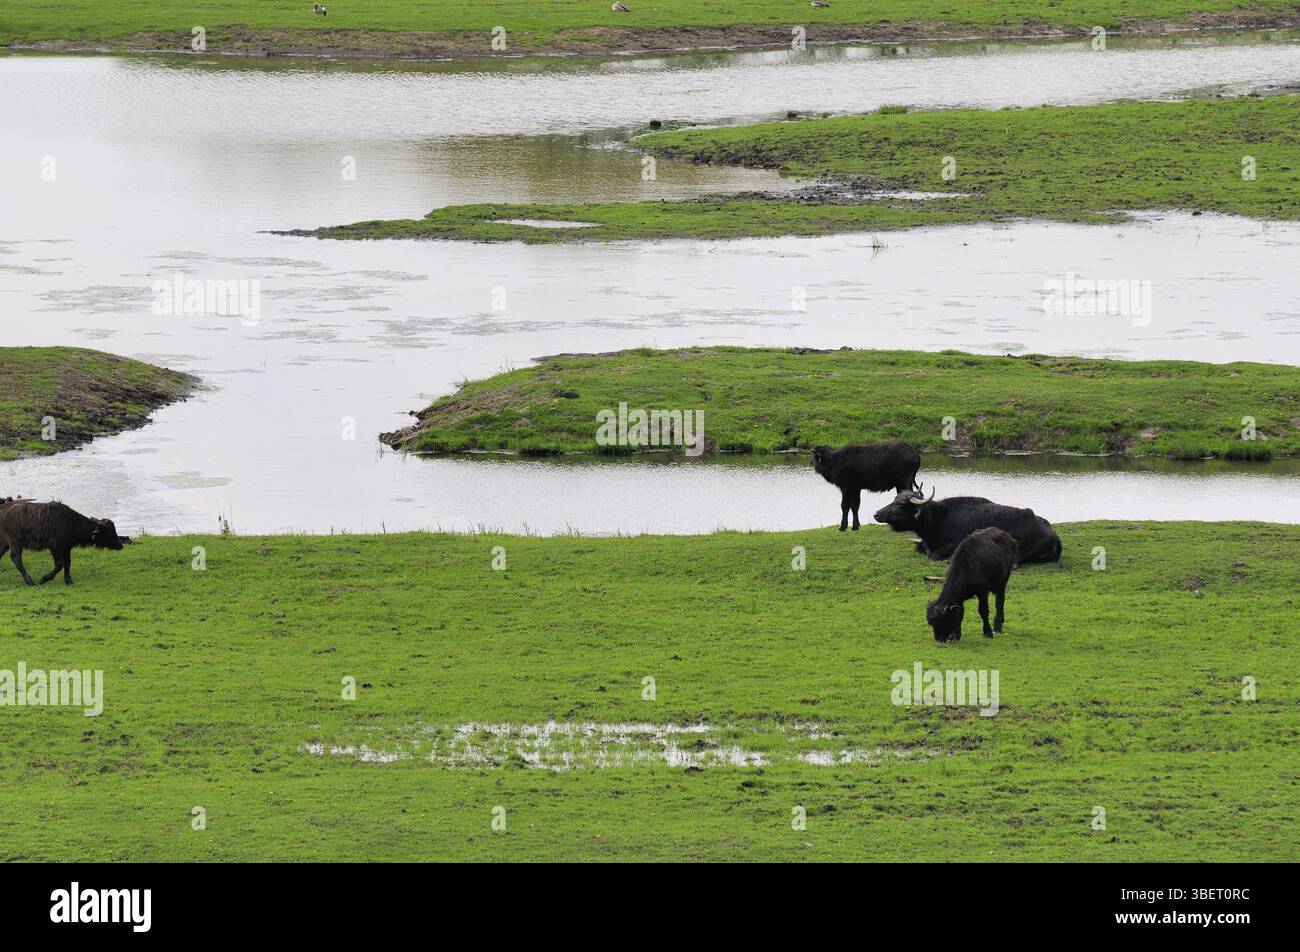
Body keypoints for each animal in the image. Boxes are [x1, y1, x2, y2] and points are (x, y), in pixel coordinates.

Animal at [0, 500, 131, 586]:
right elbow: (60, 564)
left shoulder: (67, 548)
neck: (71, 523)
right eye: (109, 532)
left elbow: (68, 563)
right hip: (15, 543)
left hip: (5, 543)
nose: (120, 545)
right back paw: (30, 582)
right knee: (16, 559)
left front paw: (68, 580)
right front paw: (44, 579)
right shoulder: (55, 547)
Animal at [874, 485, 1062, 564]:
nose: (876, 514)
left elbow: (934, 554)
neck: (938, 518)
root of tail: (1053, 534)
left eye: (900, 504)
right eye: (894, 499)